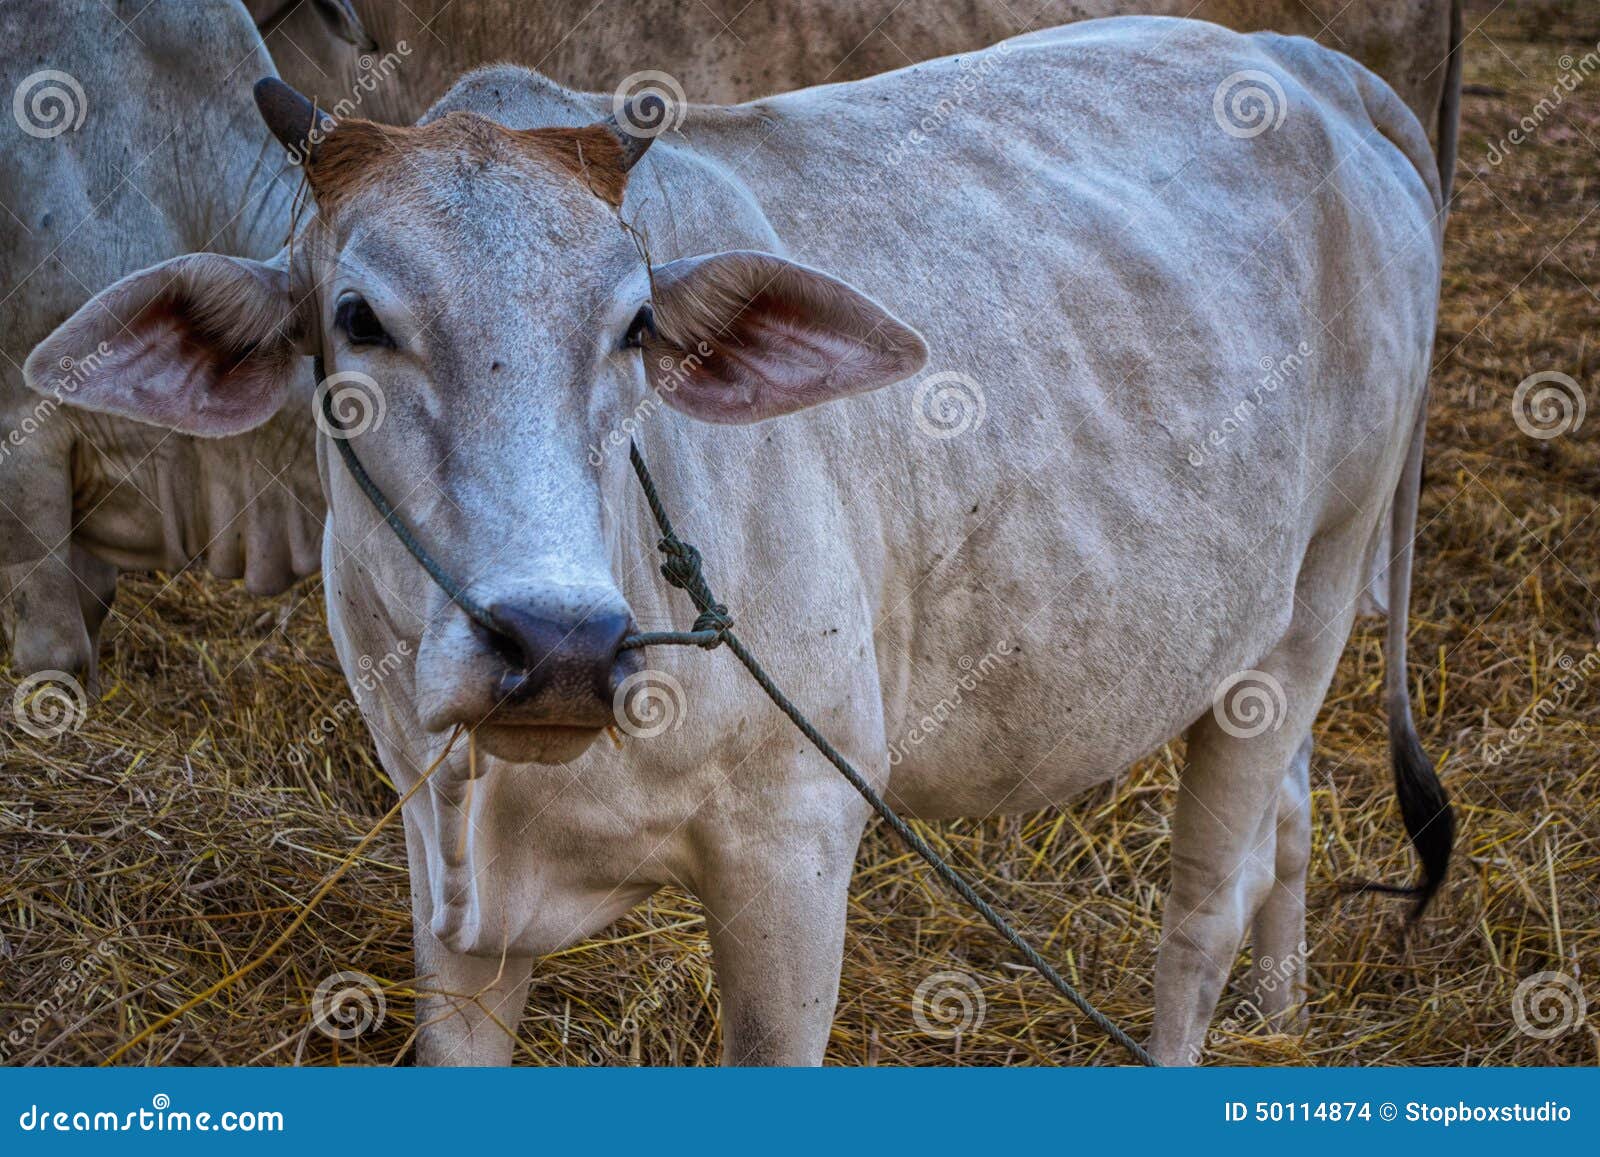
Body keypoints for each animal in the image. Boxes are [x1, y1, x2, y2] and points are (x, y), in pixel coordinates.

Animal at [27, 16, 1453, 1065]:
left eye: (635, 325)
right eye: (357, 319)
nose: (558, 645)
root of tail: (1308, 63)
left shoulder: (796, 845)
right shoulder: (447, 880)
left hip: (1317, 587)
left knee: (1200, 911)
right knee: (1285, 816)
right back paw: (1283, 1013)